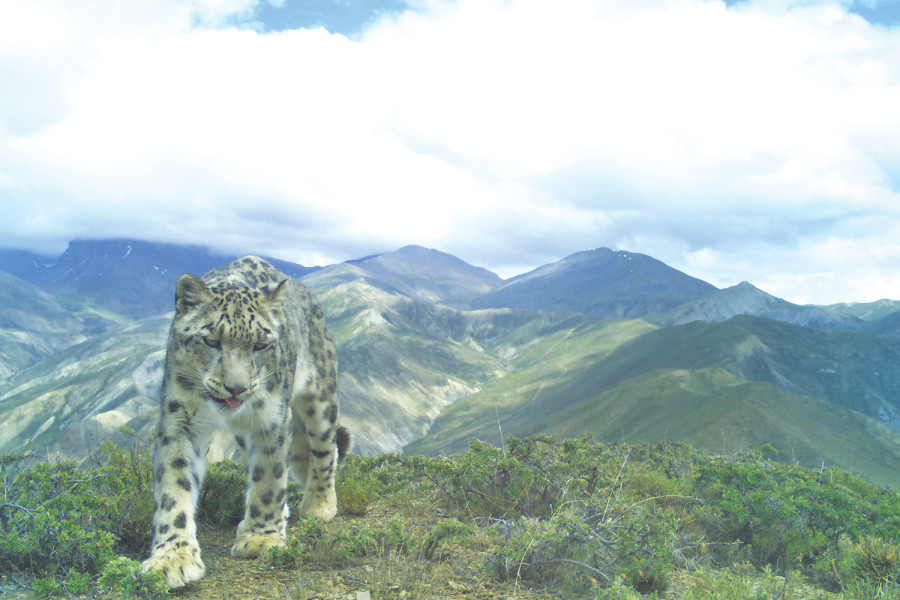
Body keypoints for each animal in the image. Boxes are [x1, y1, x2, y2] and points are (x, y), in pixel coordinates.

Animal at [140, 255, 351, 589]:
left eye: (260, 345)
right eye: (211, 340)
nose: (236, 388)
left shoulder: (271, 419)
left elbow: (269, 478)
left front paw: (261, 538)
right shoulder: (179, 420)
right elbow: (174, 486)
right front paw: (172, 557)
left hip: (321, 395)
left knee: (324, 450)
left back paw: (319, 505)